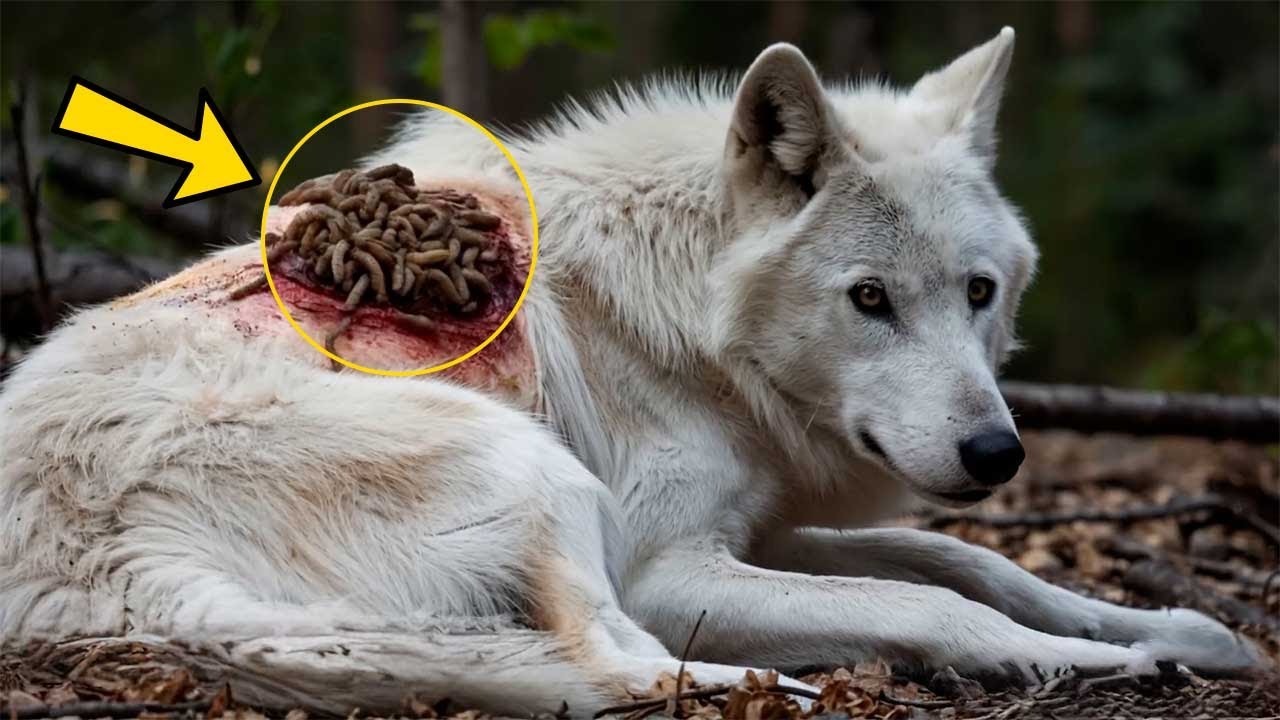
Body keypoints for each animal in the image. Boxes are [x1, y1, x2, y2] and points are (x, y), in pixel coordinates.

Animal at [0, 28, 1263, 715]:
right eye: (867, 300)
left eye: (978, 293)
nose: (996, 452)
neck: (685, 314)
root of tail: (98, 574)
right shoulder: (667, 565)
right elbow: (928, 602)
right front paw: (1107, 659)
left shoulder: (754, 525)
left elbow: (966, 561)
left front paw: (1183, 631)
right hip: (538, 472)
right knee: (614, 663)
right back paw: (782, 695)